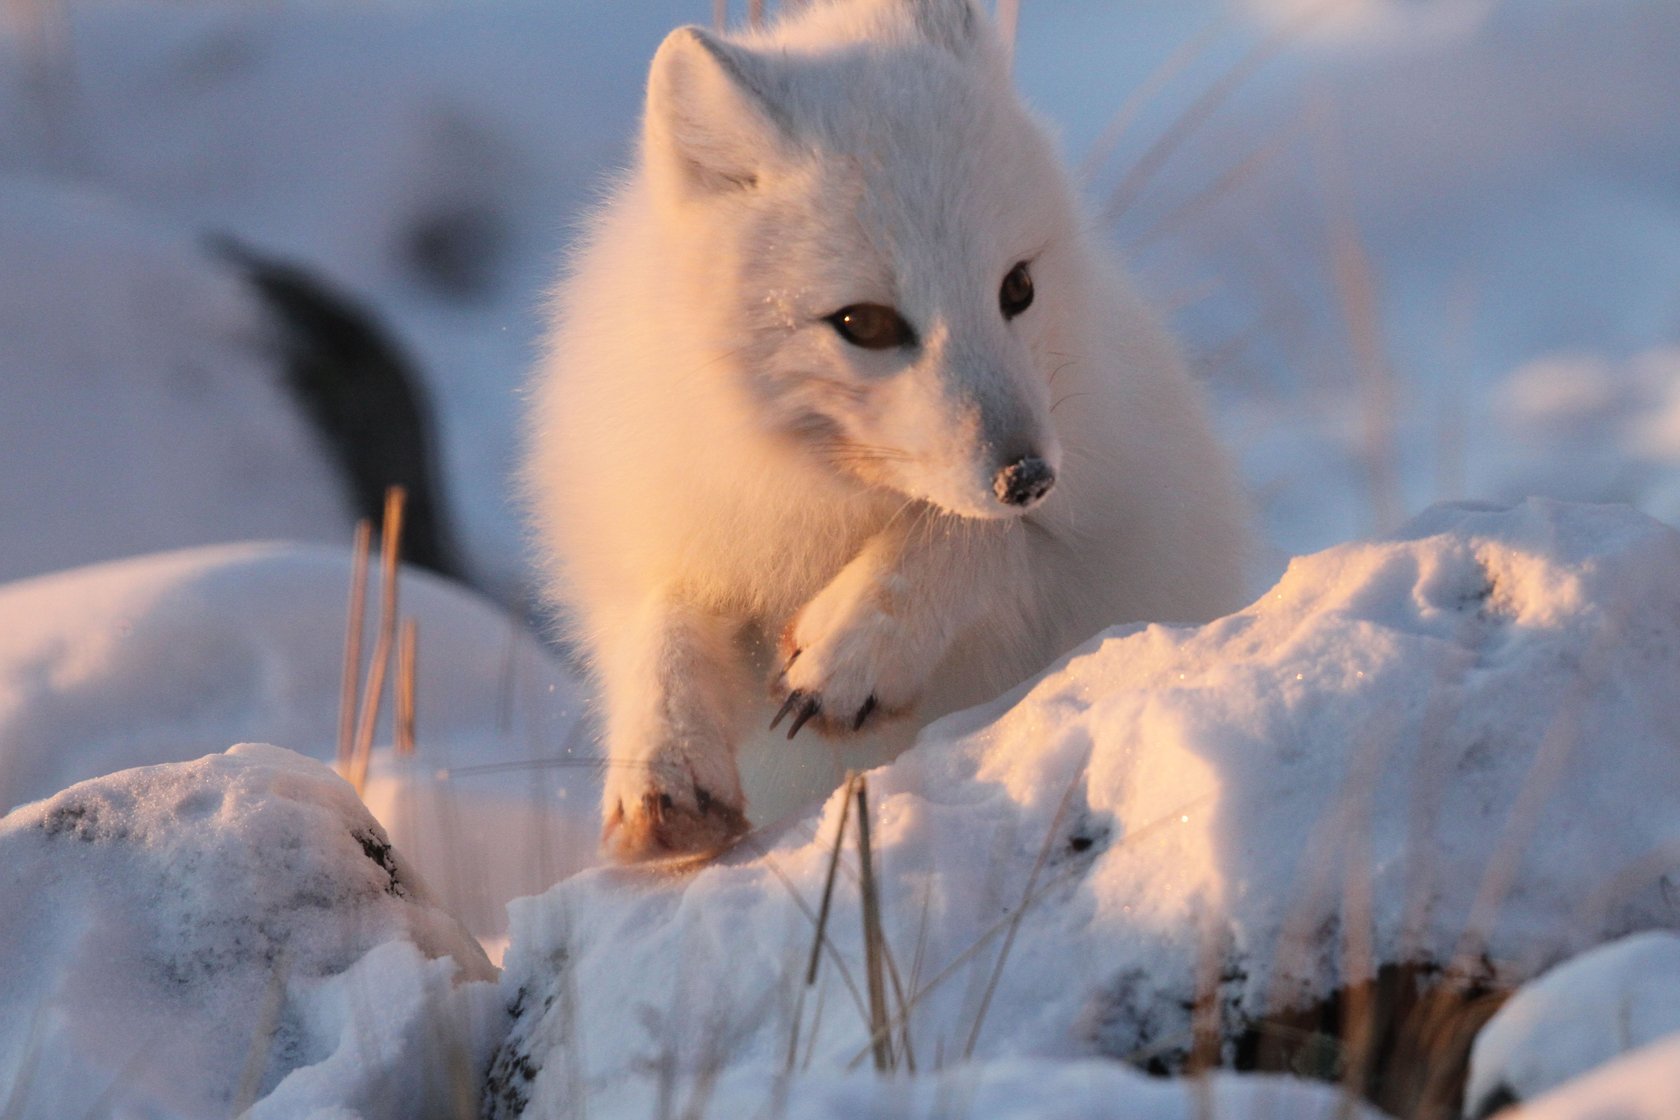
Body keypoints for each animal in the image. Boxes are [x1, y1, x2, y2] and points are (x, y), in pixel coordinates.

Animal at [524, 0, 1249, 861]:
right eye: (862, 324)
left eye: (1018, 287)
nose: (1029, 477)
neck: (821, 494)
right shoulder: (662, 526)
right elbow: (661, 627)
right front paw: (662, 773)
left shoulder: (1103, 533)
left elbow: (977, 537)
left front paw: (850, 652)